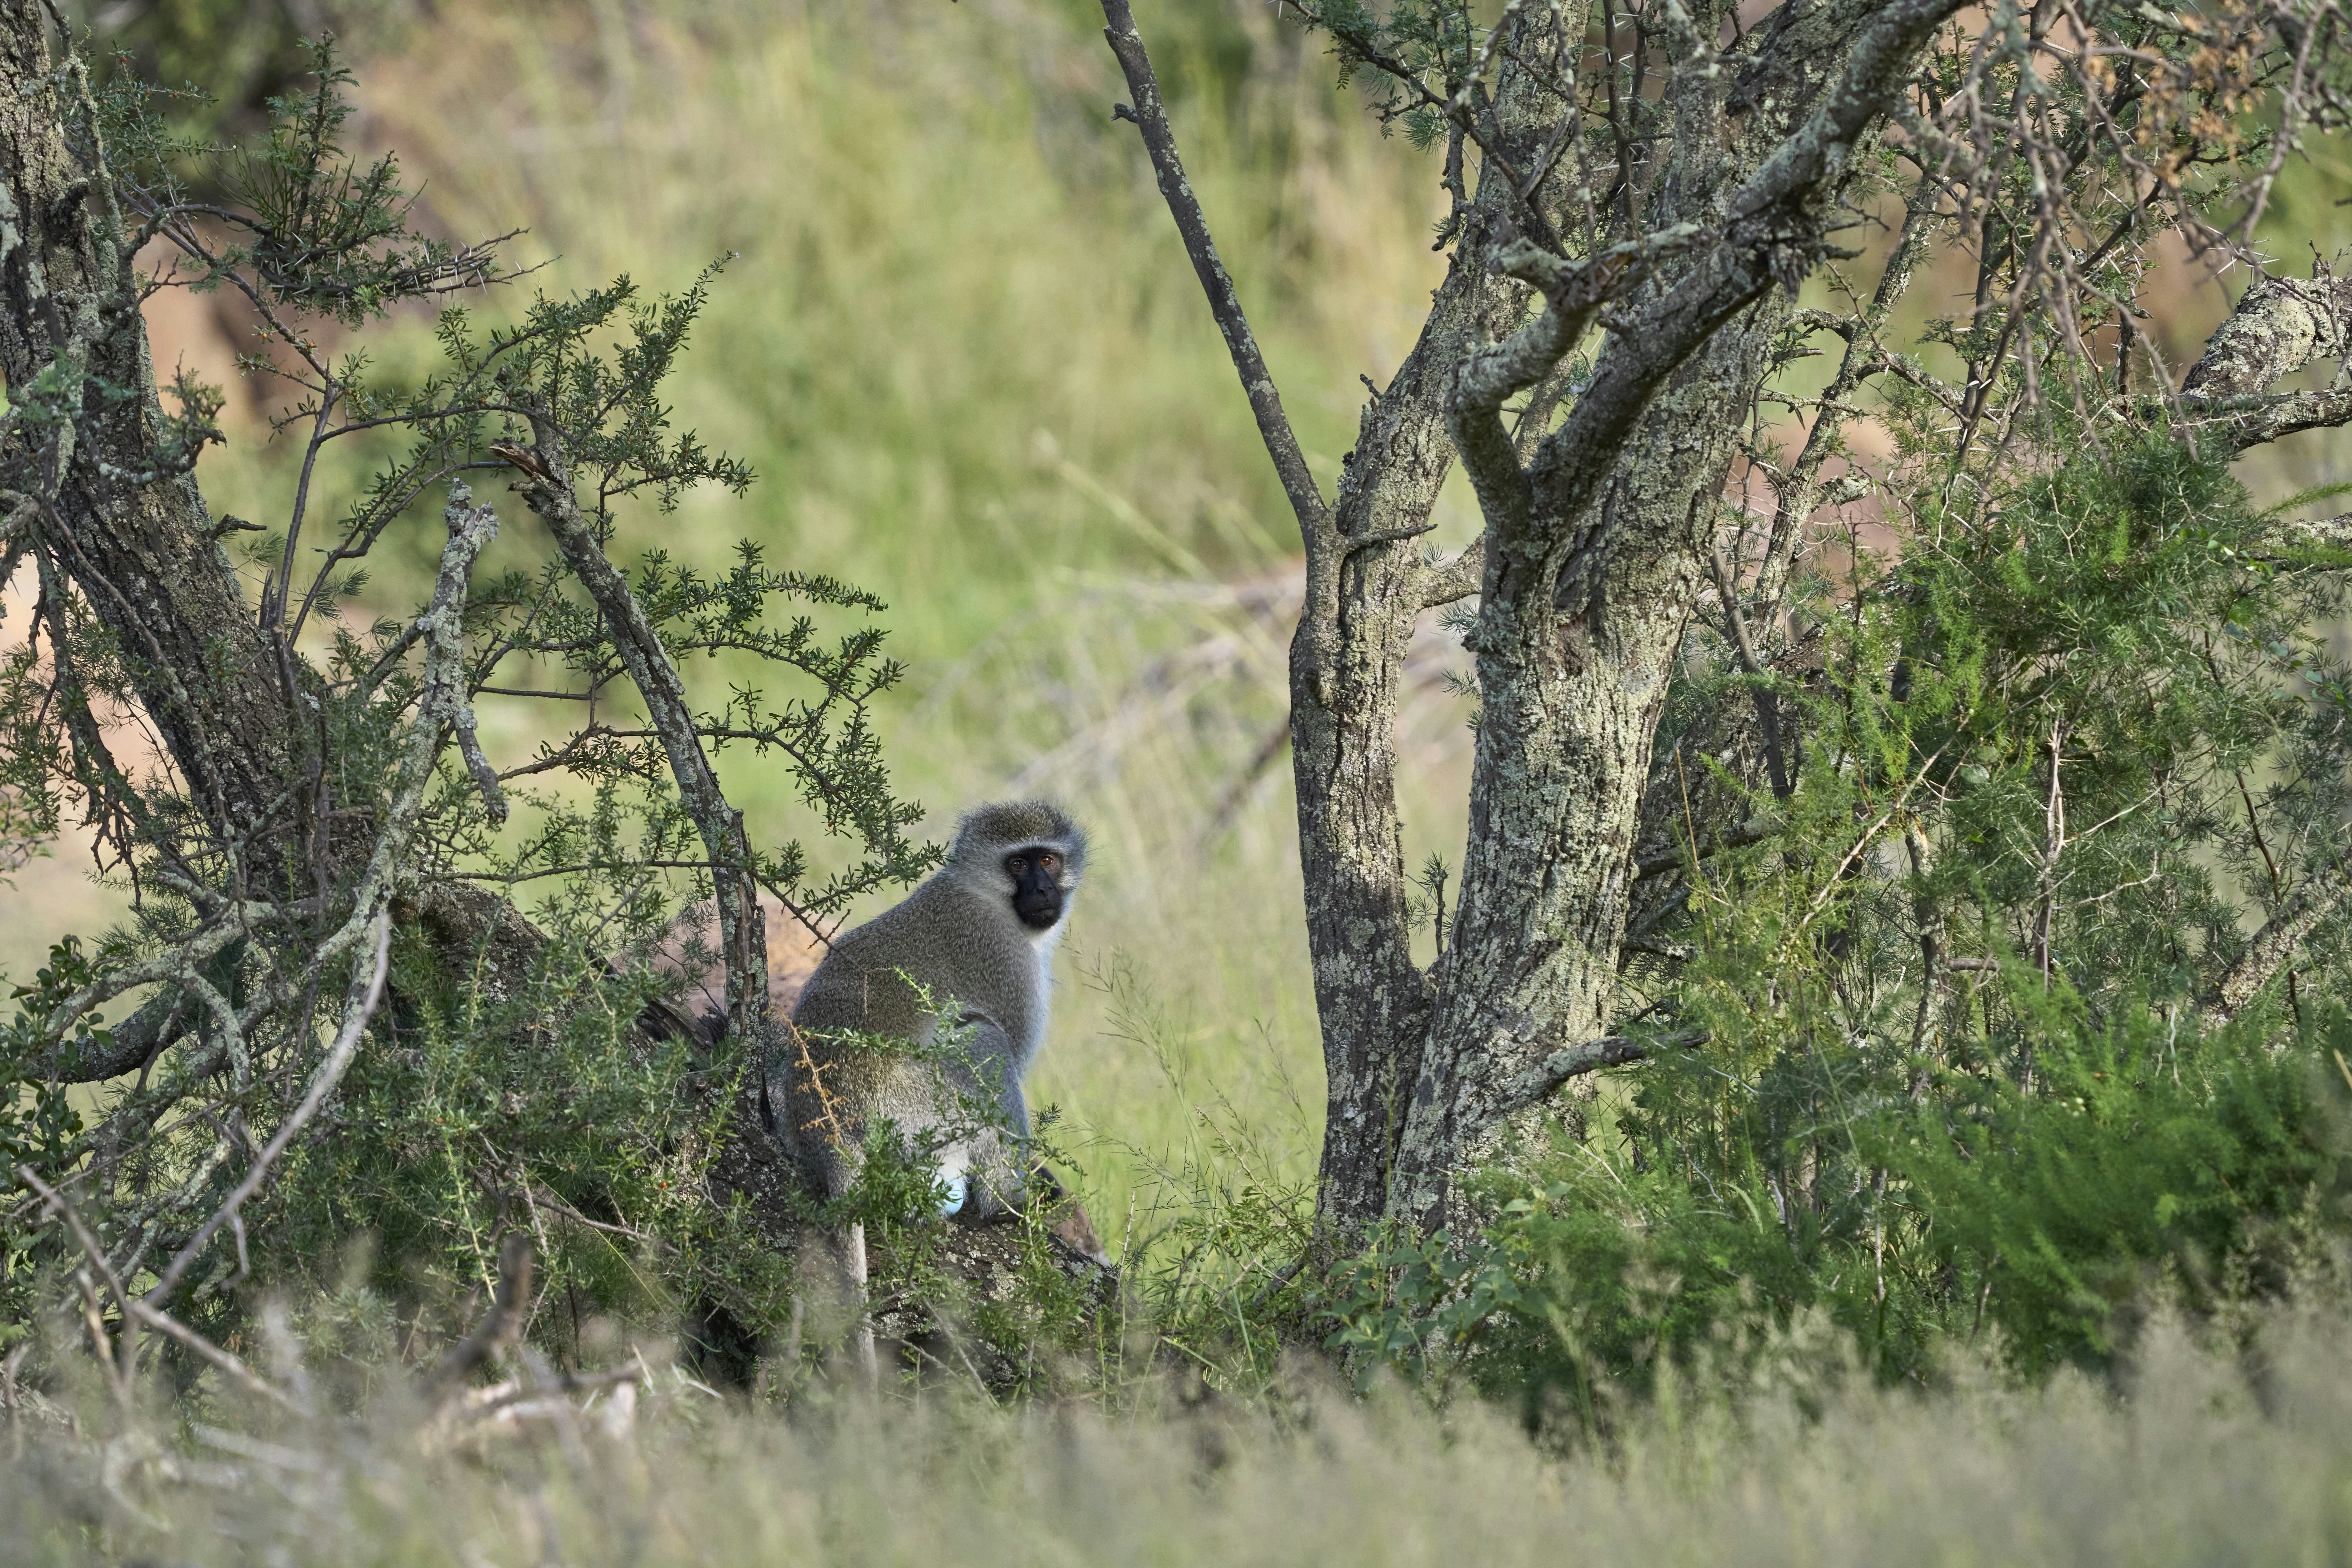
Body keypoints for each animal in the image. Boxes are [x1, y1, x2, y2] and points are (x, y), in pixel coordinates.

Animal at [783, 799, 1086, 1223]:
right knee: (987, 1041)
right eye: (1018, 865)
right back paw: (1006, 1206)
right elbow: (1011, 1045)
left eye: (1047, 859)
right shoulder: (1002, 956)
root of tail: (831, 1133)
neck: (981, 893)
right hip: (914, 1114)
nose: (1044, 889)